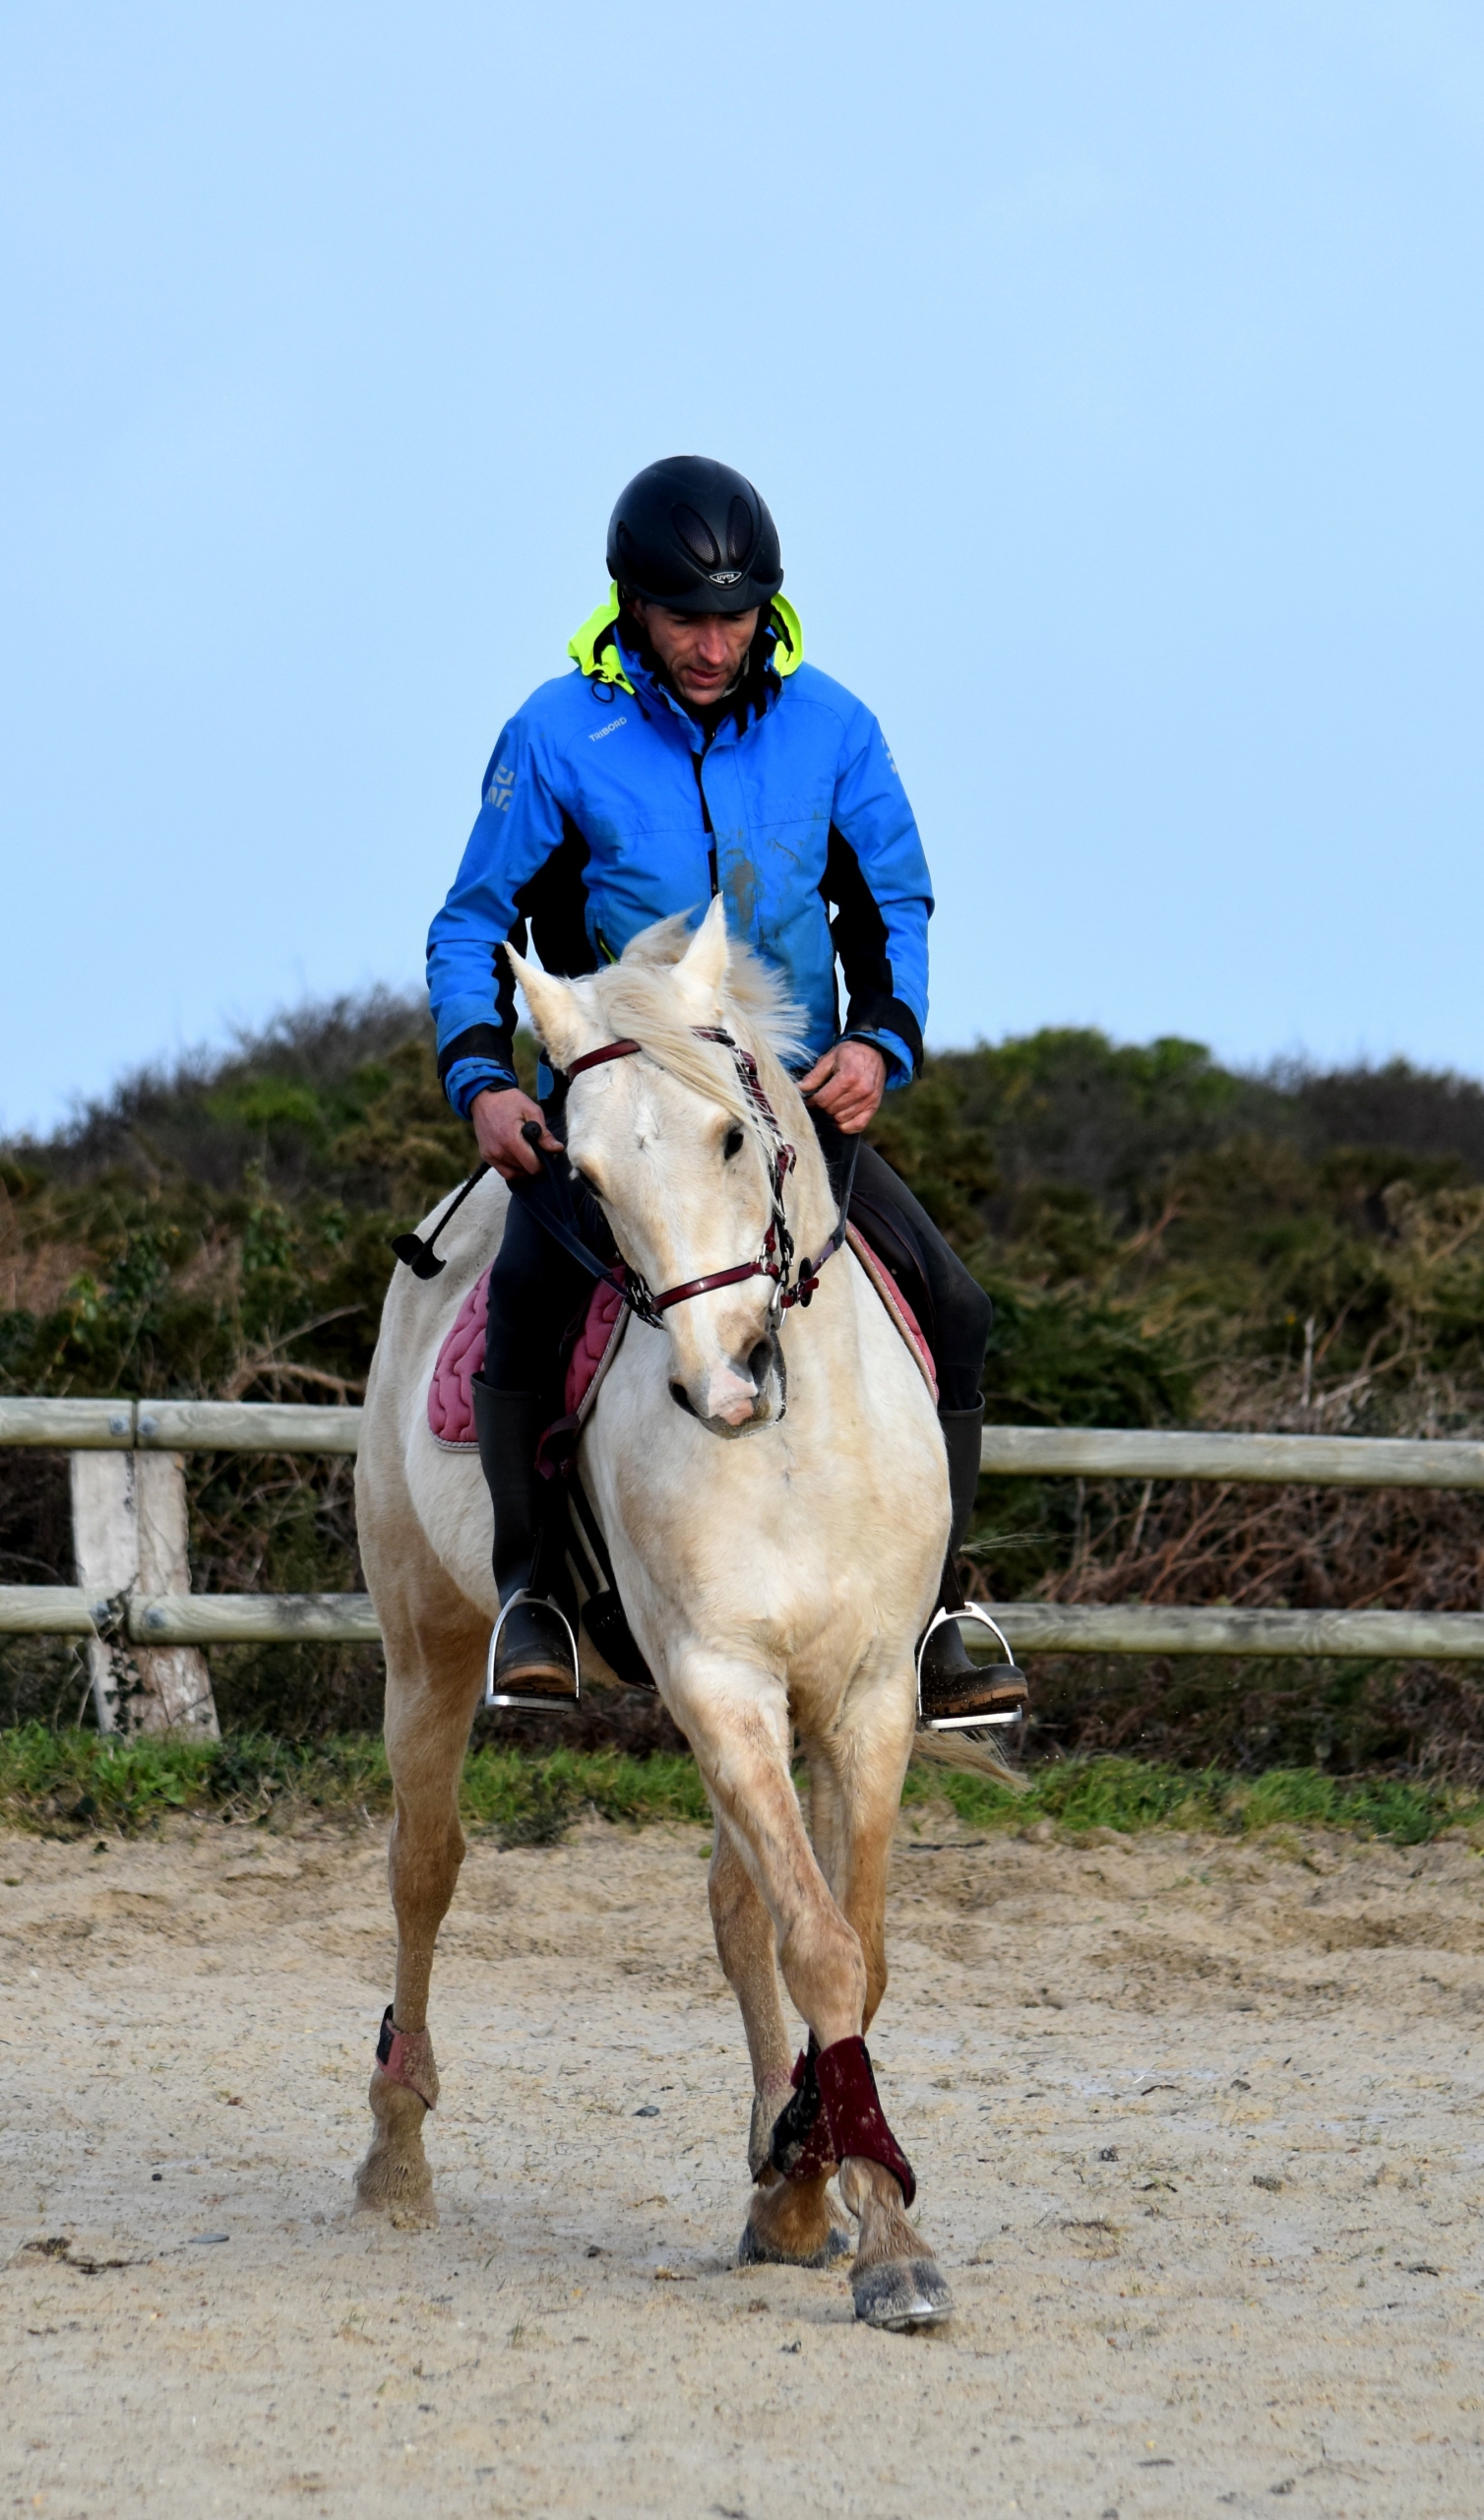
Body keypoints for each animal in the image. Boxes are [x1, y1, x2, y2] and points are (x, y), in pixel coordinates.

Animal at [352, 898, 958, 2327]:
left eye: (734, 1135)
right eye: (584, 1178)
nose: (726, 1382)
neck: (792, 1450)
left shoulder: (865, 1696)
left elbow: (848, 1943)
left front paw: (816, 2179)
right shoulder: (717, 1679)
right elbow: (821, 1948)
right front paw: (879, 2232)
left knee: (737, 1909)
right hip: (430, 1645)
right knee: (424, 1870)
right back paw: (394, 2155)